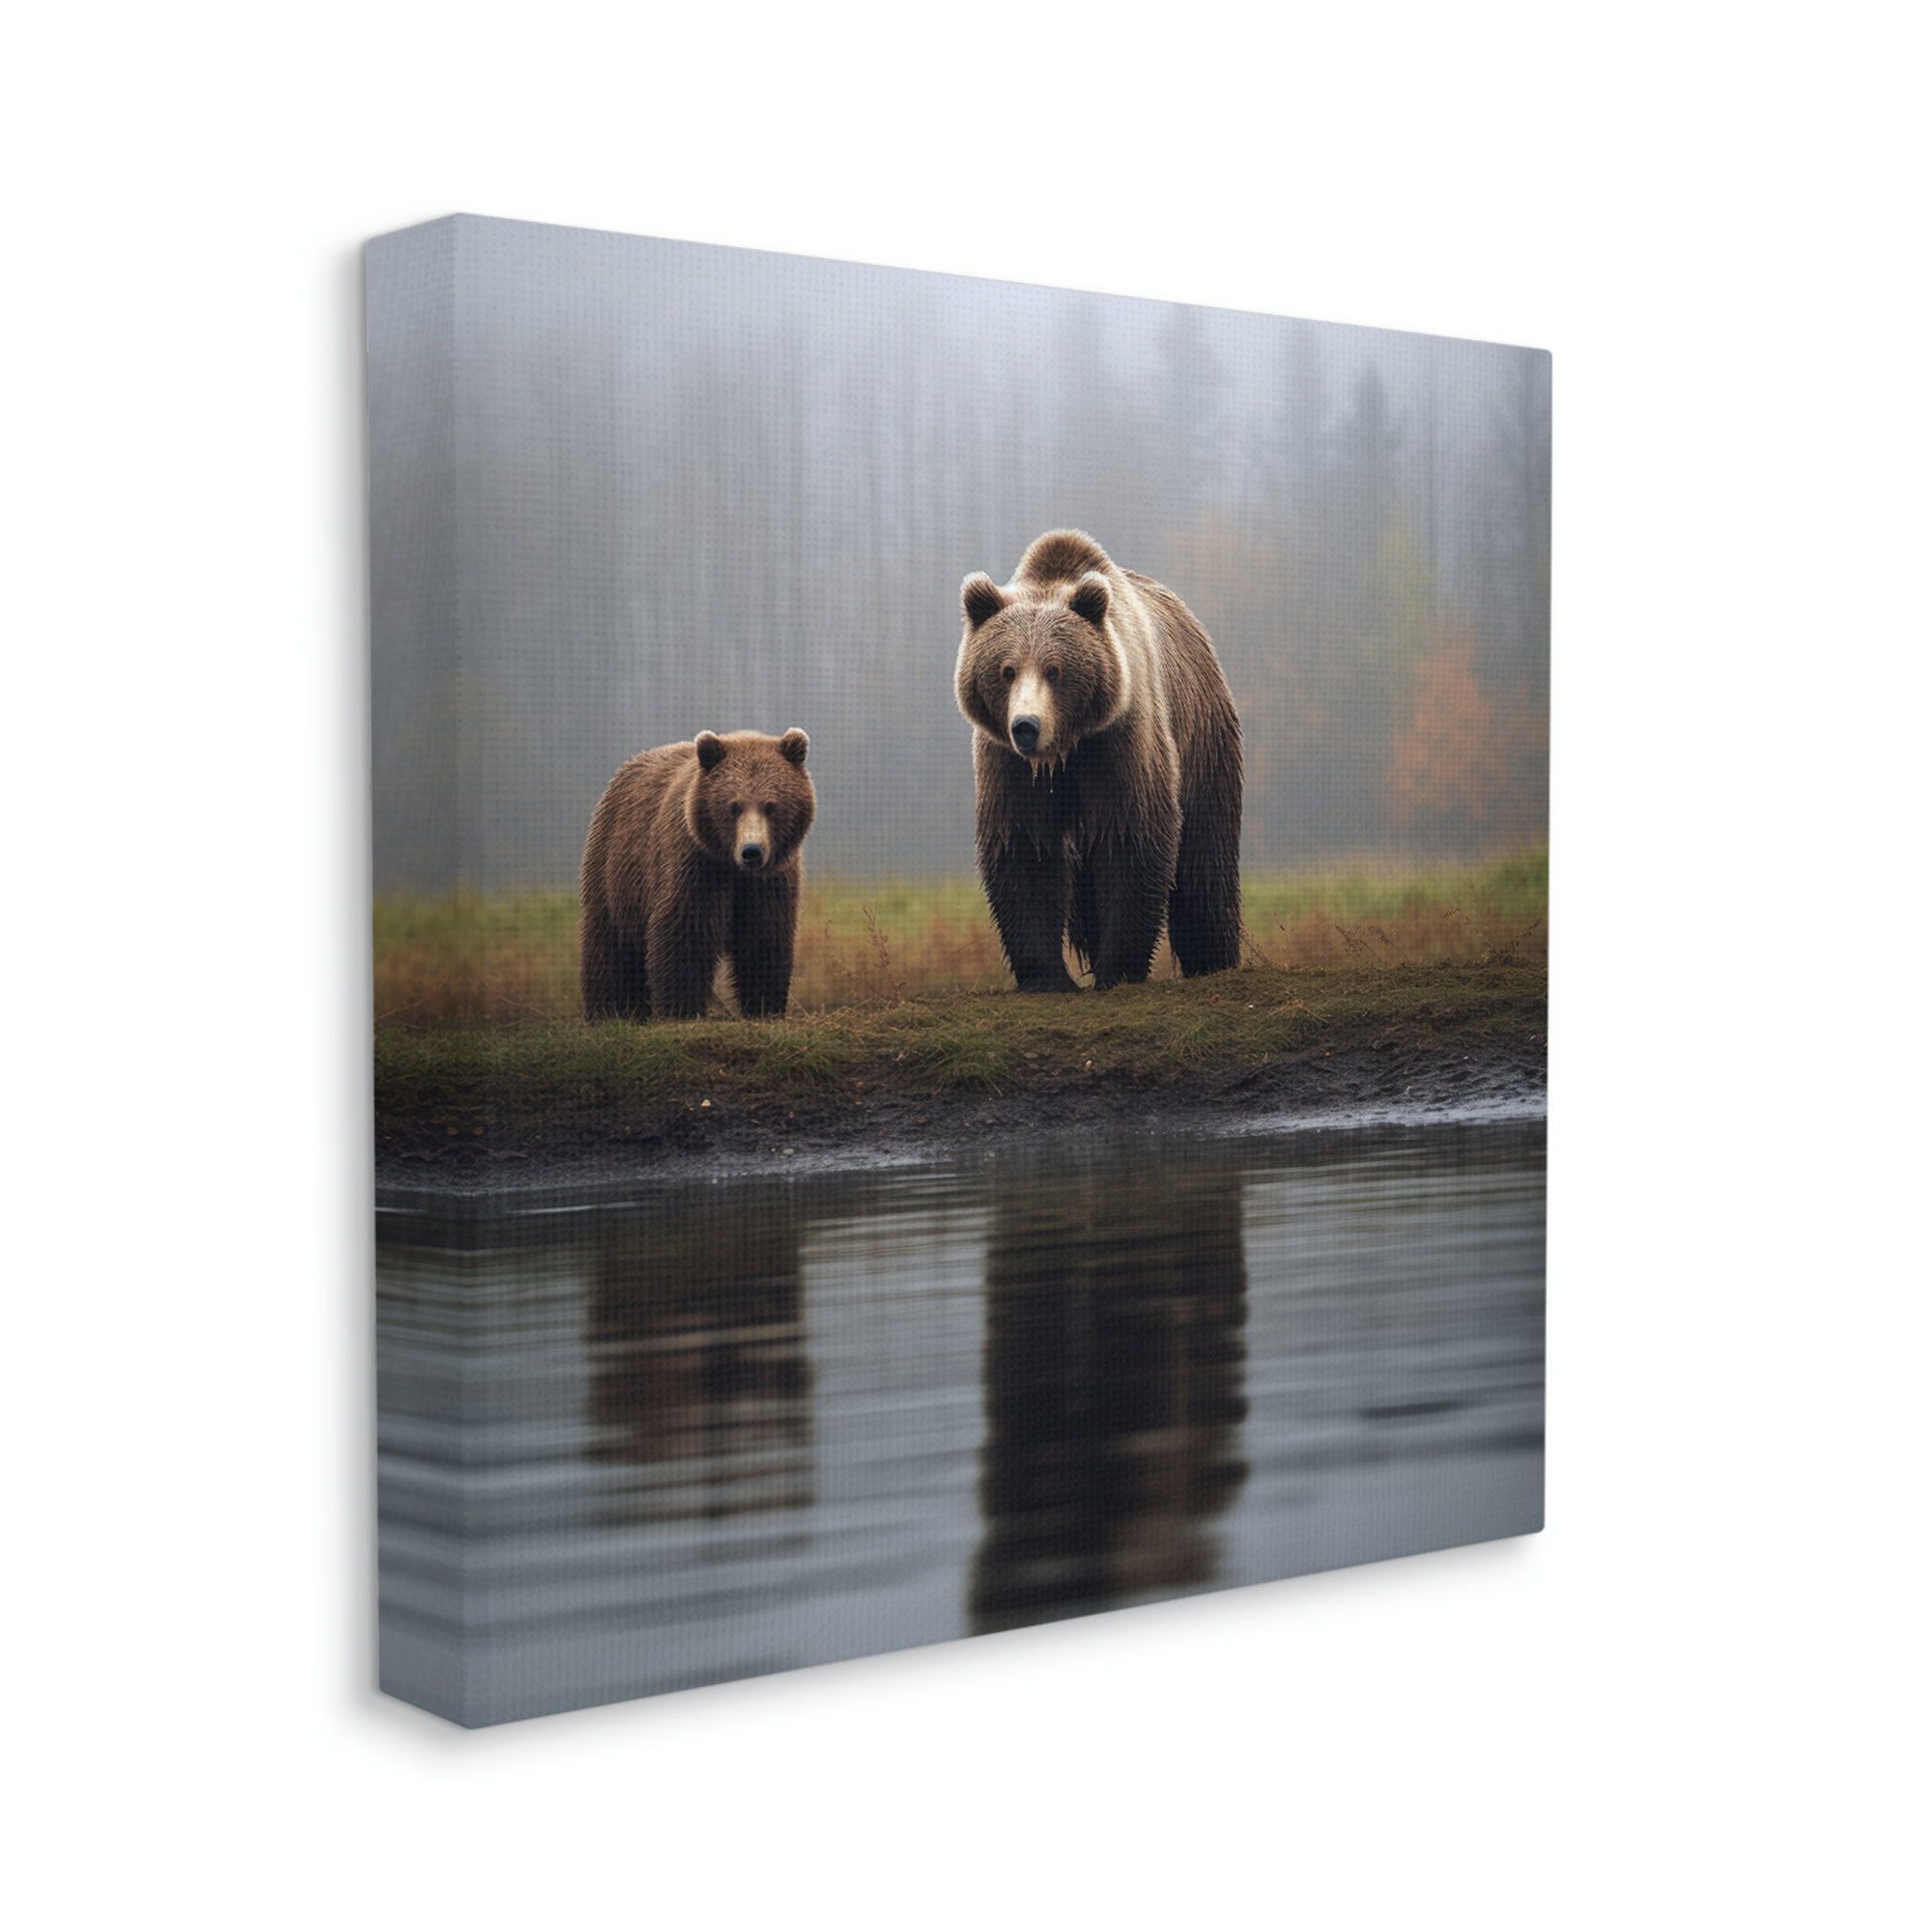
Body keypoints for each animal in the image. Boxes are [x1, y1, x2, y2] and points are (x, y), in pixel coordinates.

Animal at [579, 728, 814, 1022]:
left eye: (771, 806)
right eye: (734, 806)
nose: (752, 851)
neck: (732, 868)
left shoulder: (769, 881)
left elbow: (764, 935)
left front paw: (764, 1005)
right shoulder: (695, 866)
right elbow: (684, 931)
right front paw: (682, 1009)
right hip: (614, 870)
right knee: (610, 945)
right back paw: (610, 1010)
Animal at [955, 530, 1243, 993]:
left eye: (1055, 670)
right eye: (1006, 670)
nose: (1026, 726)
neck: (1065, 750)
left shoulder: (1119, 741)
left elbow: (1132, 834)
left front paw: (1118, 968)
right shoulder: (1009, 764)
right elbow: (1023, 844)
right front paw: (1047, 976)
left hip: (1202, 736)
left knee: (1206, 857)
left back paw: (1213, 958)